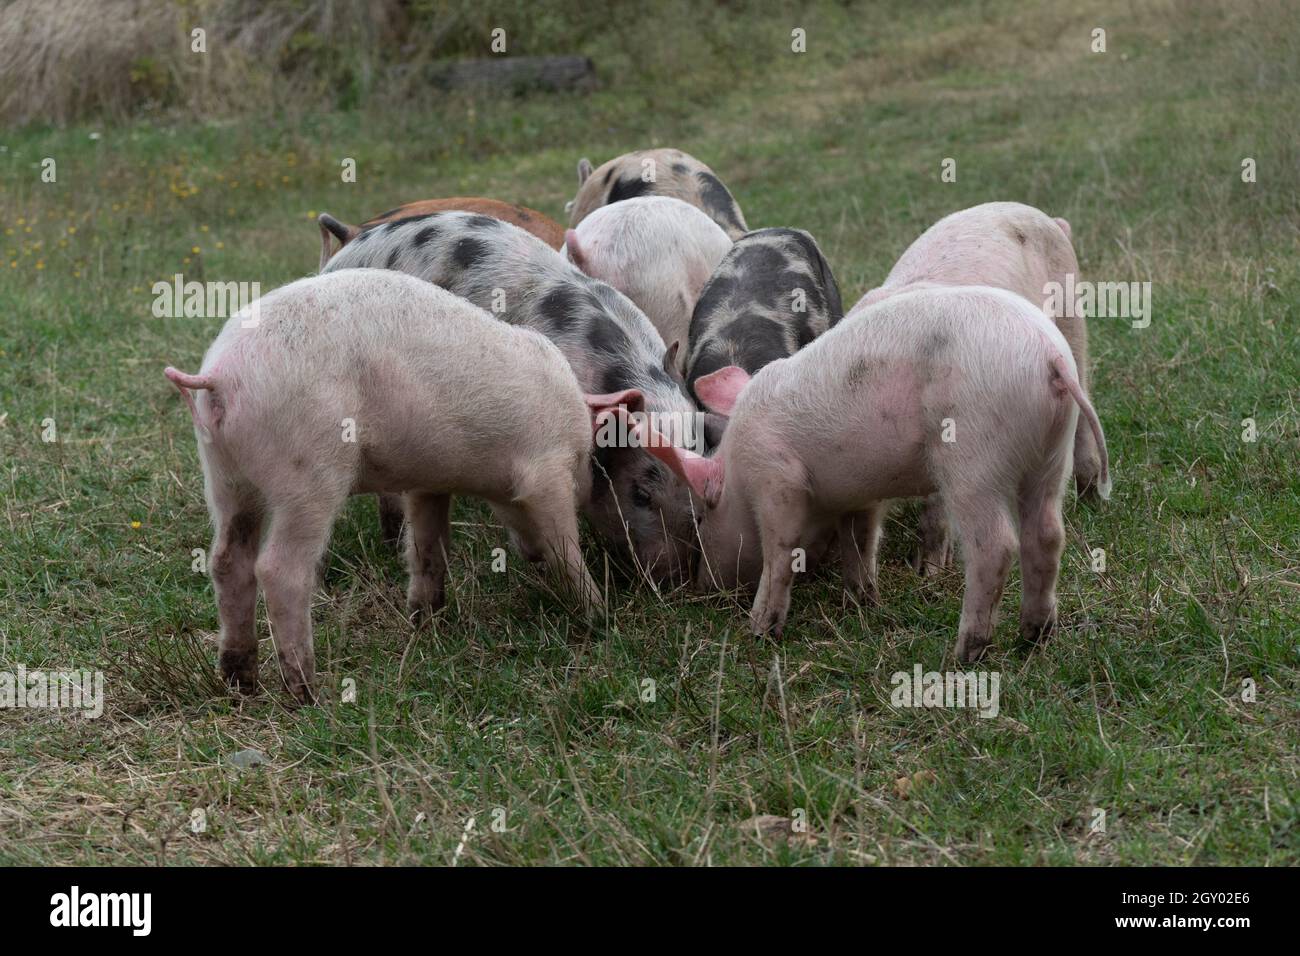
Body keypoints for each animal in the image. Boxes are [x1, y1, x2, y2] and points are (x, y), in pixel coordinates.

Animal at [163, 269, 605, 702]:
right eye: (587, 463)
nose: (530, 556)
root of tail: (219, 375)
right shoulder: (545, 469)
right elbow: (564, 543)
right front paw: (598, 614)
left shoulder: (431, 480)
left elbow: (428, 545)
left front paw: (424, 621)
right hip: (308, 469)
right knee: (279, 569)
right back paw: (308, 694)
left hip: (223, 475)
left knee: (227, 561)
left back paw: (241, 684)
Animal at [637, 284, 1111, 663]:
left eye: (701, 517)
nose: (703, 586)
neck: (737, 468)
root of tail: (1051, 358)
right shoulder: (857, 495)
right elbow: (860, 541)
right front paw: (863, 602)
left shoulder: (778, 478)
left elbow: (780, 552)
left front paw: (759, 631)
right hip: (1052, 454)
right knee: (1047, 535)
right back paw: (1032, 639)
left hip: (974, 454)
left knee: (996, 545)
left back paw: (962, 655)